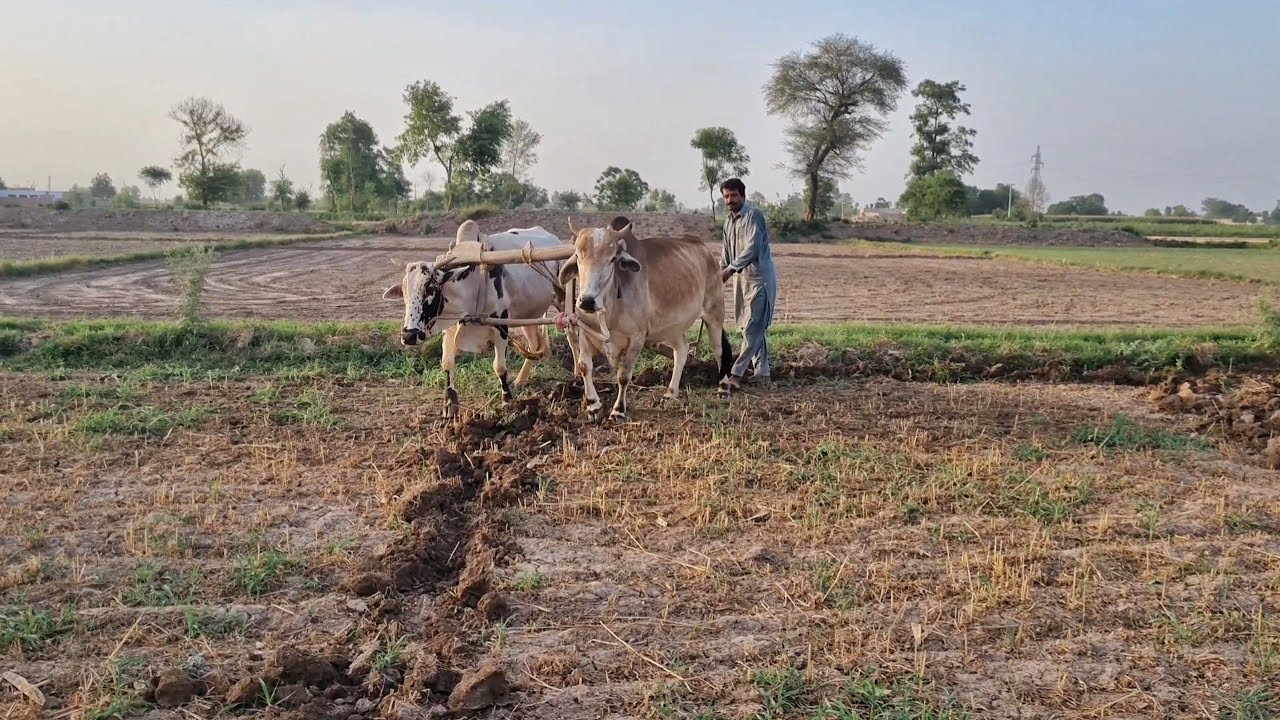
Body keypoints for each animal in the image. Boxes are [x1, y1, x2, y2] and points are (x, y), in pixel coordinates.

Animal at [381, 220, 570, 418]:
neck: (473, 282)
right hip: (527, 313)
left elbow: (499, 366)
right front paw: (450, 403)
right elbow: (447, 363)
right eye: (404, 291)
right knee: (534, 345)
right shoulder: (450, 328)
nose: (409, 336)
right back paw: (520, 380)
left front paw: (507, 400)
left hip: (561, 300)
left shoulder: (500, 327)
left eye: (430, 288)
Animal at [556, 216, 733, 422]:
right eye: (578, 256)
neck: (610, 309)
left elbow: (624, 375)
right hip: (673, 326)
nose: (587, 301)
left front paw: (618, 410)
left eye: (612, 259)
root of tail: (705, 249)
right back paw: (670, 393)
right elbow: (584, 366)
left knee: (719, 351)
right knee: (681, 350)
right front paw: (593, 406)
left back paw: (723, 389)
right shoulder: (585, 333)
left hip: (715, 313)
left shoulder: (637, 339)